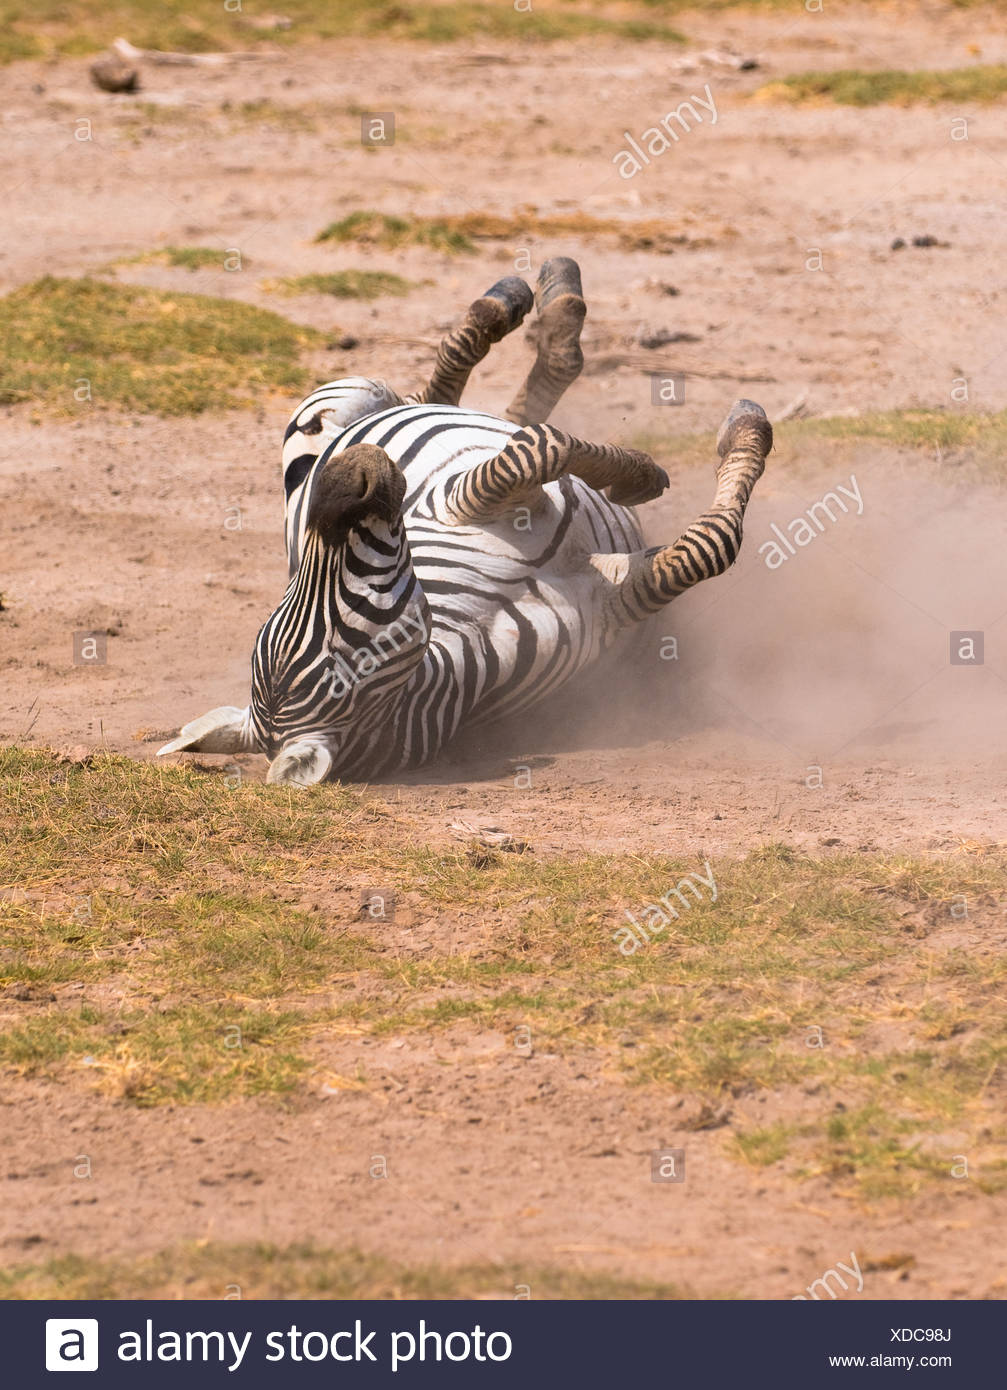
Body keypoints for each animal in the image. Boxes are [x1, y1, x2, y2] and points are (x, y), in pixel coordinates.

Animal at [158, 257, 772, 785]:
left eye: (294, 604)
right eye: (337, 627)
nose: (350, 465)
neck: (476, 627)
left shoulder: (452, 503)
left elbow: (535, 445)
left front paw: (629, 472)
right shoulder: (602, 597)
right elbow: (553, 453)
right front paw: (655, 469)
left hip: (347, 398)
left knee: (450, 396)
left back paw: (530, 303)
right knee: (503, 412)